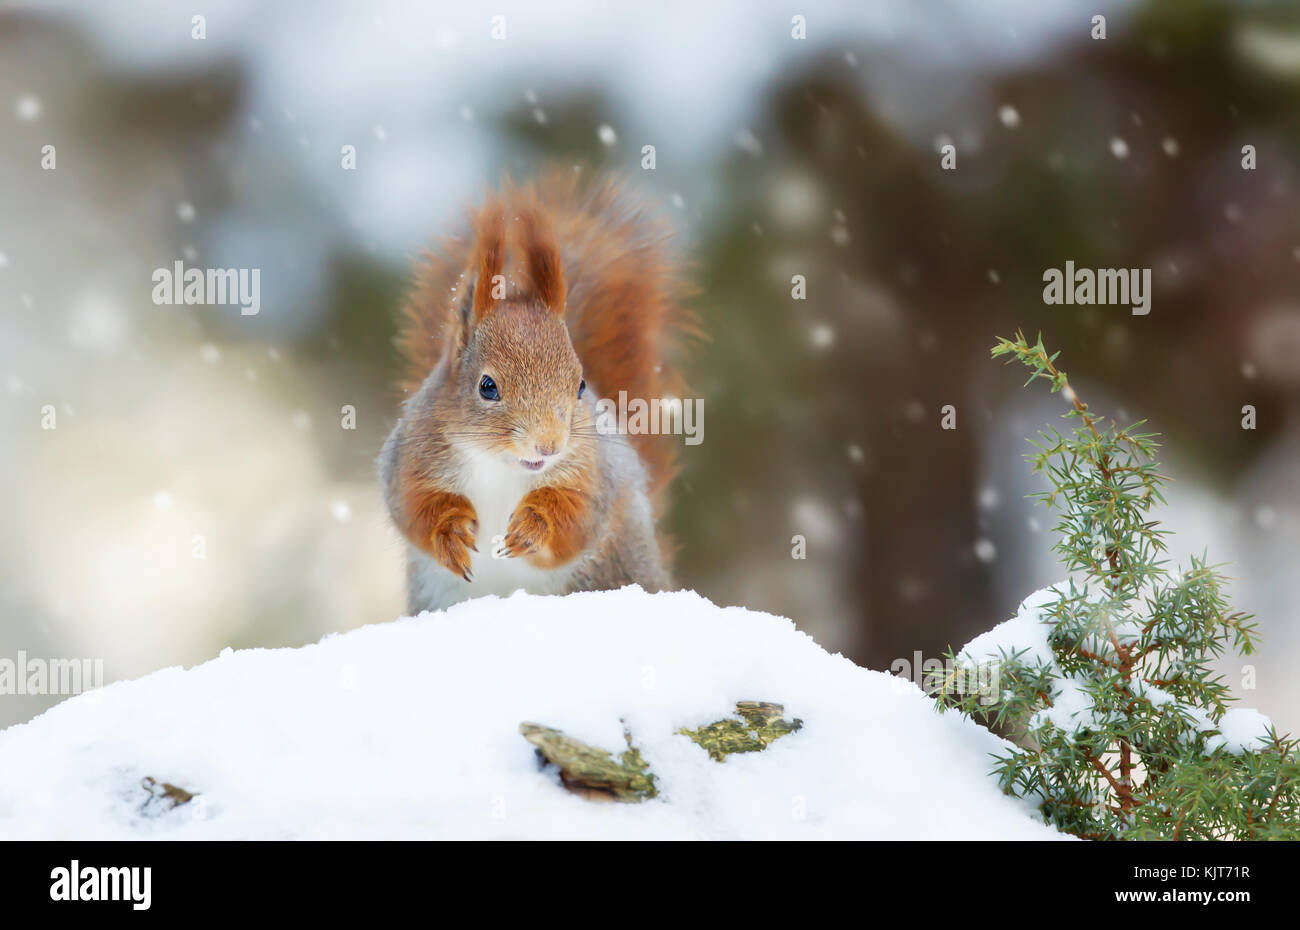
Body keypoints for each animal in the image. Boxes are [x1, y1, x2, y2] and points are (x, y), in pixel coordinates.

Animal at [380, 171, 694, 614]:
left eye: (580, 385)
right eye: (487, 387)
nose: (549, 446)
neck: (500, 465)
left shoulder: (594, 472)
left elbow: (575, 519)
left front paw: (532, 528)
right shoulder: (412, 455)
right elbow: (414, 506)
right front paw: (450, 534)